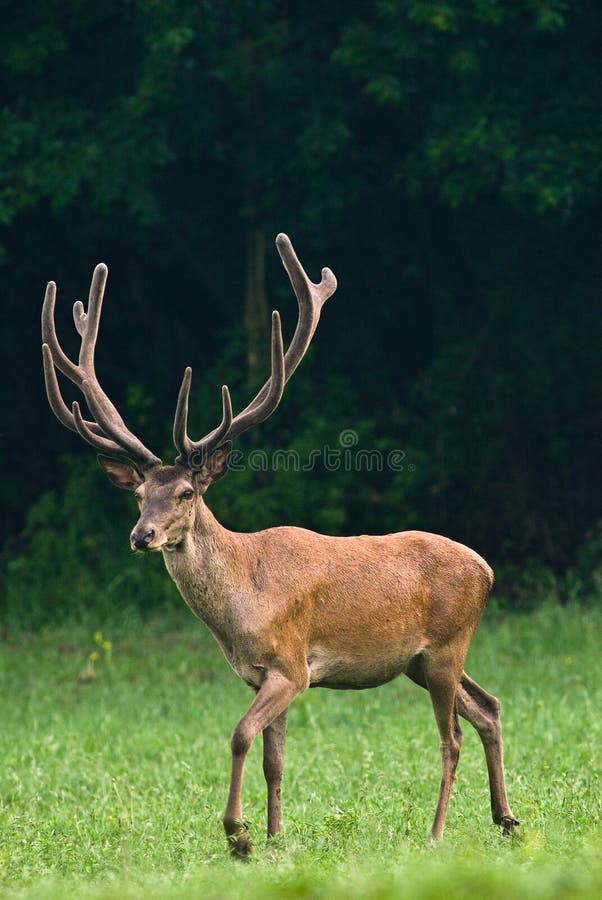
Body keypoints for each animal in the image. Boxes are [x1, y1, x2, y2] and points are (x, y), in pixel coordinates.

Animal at [41, 234, 519, 856]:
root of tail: (488, 570)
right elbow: (275, 759)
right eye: (140, 494)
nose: (141, 534)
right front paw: (273, 836)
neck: (241, 604)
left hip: (444, 646)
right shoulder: (259, 673)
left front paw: (238, 833)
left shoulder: (292, 665)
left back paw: (437, 833)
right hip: (419, 660)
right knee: (489, 706)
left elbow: (241, 735)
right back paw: (506, 818)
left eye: (187, 492)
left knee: (453, 736)